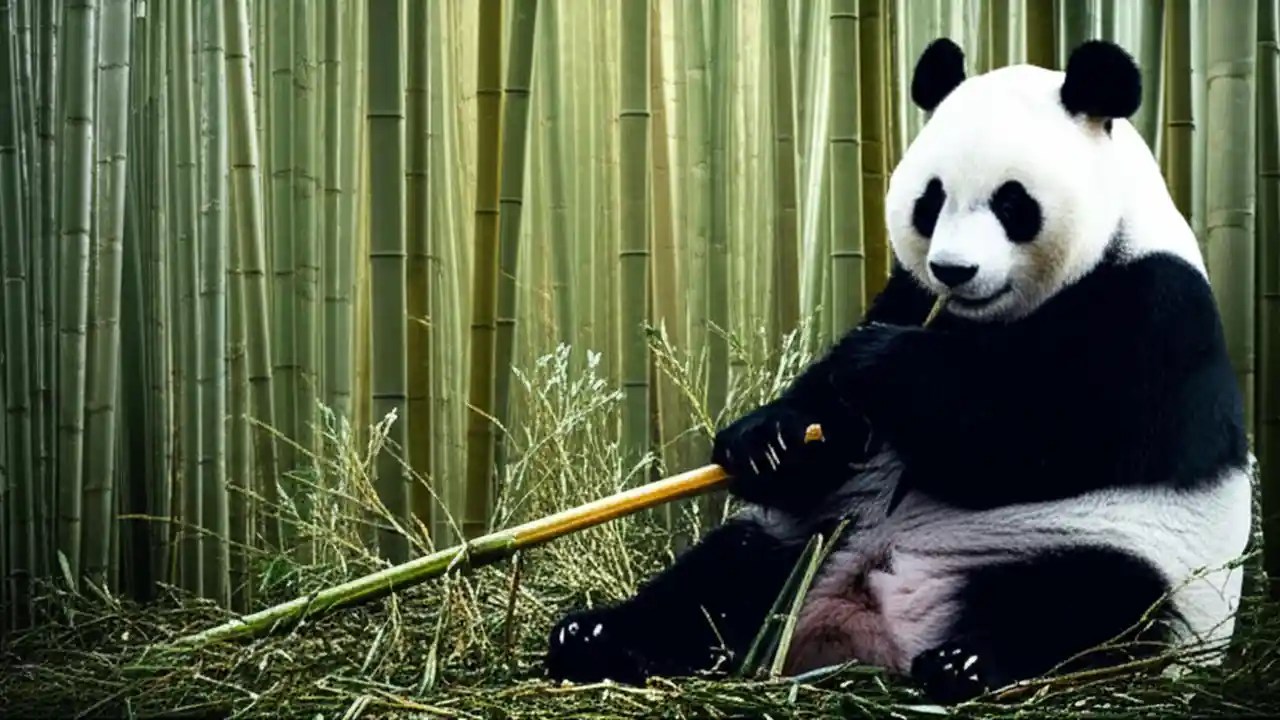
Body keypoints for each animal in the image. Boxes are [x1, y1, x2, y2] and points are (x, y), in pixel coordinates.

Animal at [542, 37, 1253, 704]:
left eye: (1012, 203)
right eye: (930, 201)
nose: (954, 270)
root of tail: (862, 630)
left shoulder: (1154, 312)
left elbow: (1041, 435)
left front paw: (881, 365)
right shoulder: (909, 291)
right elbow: (831, 427)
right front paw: (769, 439)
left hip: (1114, 555)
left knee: (1086, 605)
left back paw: (965, 665)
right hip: (815, 540)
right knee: (727, 574)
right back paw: (596, 637)